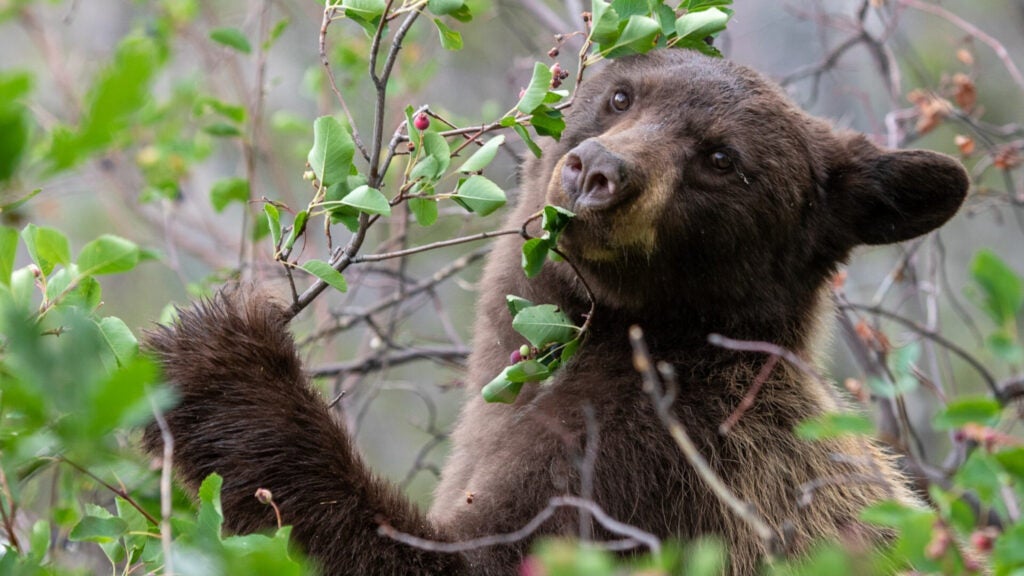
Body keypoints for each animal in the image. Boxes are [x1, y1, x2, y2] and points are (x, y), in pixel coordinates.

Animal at [144, 48, 969, 575]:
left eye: (721, 158)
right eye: (623, 95)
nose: (598, 170)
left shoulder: (653, 472)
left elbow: (463, 558)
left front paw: (225, 364)